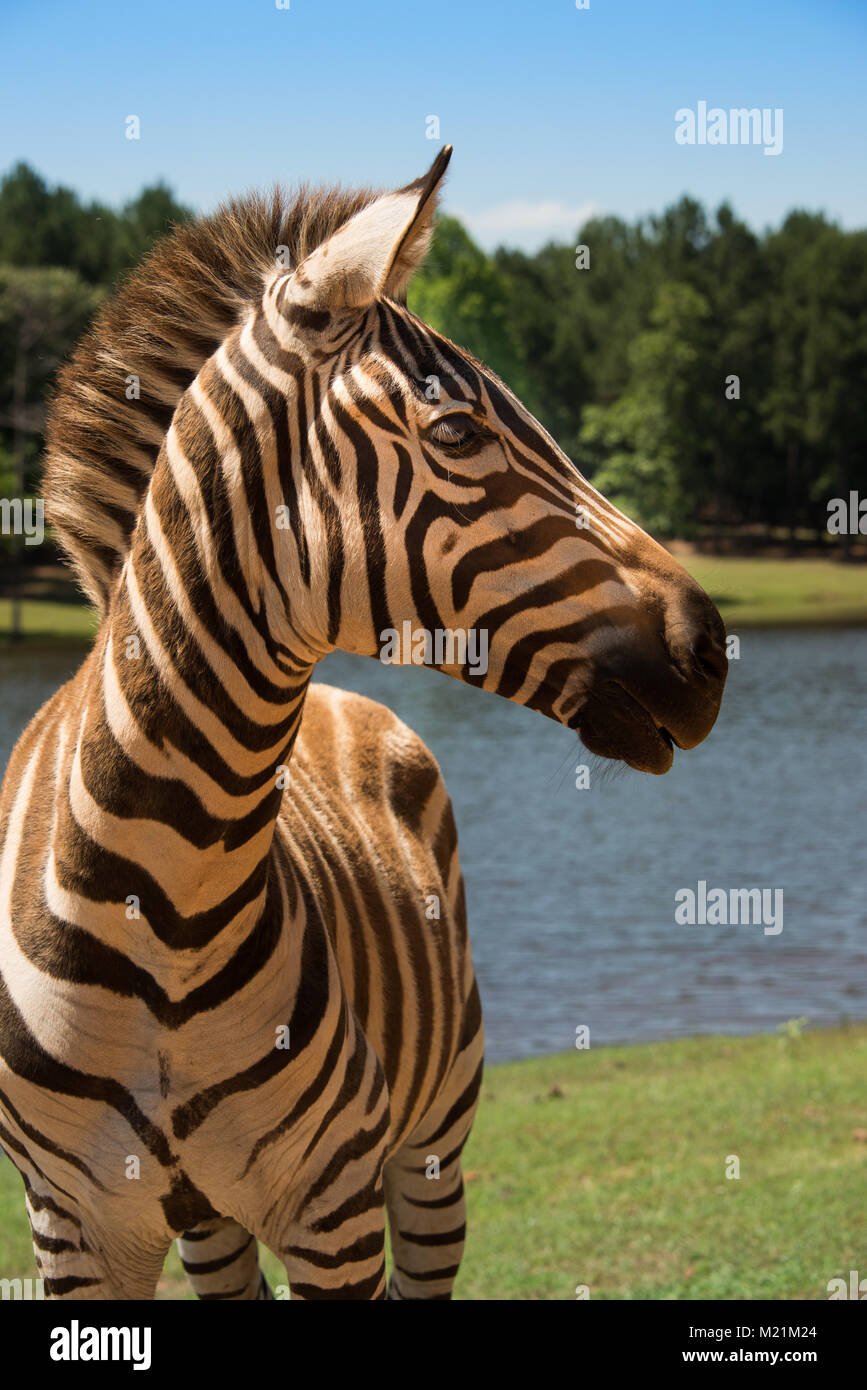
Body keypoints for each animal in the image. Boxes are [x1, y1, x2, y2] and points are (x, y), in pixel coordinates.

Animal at [0, 147, 726, 1300]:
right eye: (457, 432)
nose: (713, 651)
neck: (162, 902)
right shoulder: (71, 1228)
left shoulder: (330, 1206)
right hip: (210, 1219)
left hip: (432, 1155)